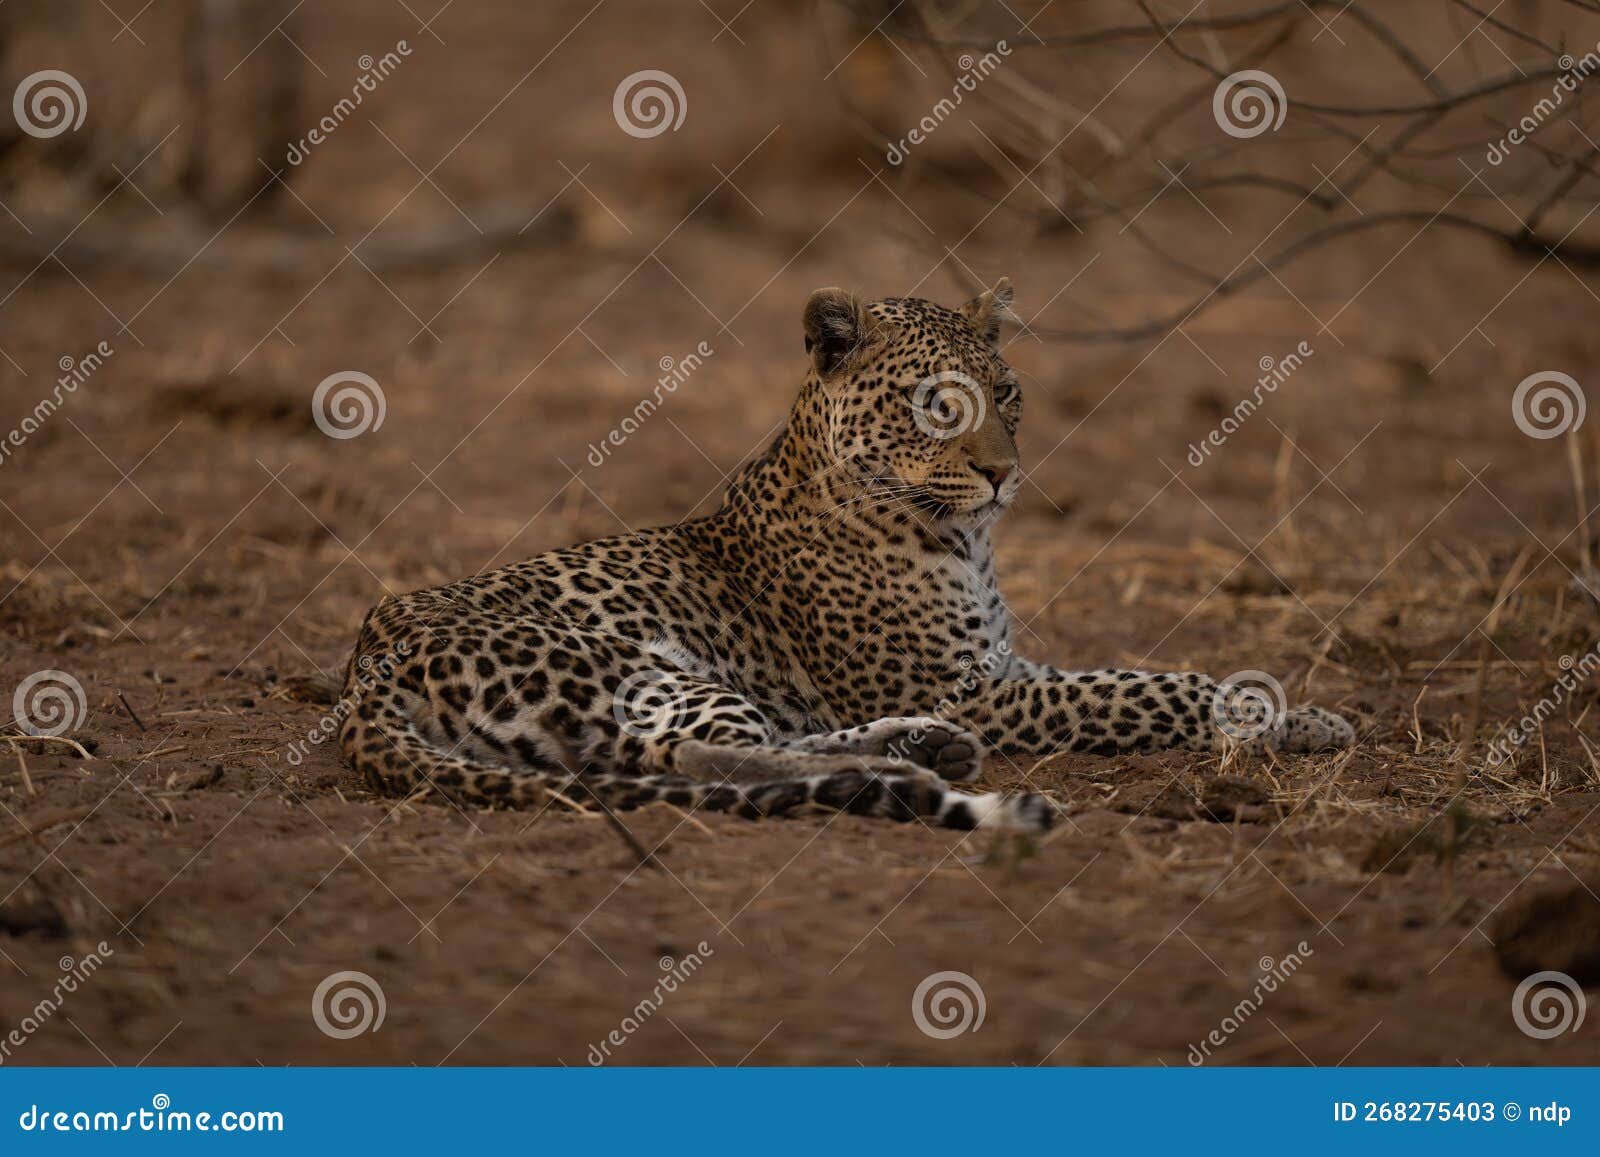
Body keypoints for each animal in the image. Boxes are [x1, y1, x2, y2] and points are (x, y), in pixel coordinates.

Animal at [338, 279, 1354, 834]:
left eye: (1005, 391)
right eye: (935, 403)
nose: (1004, 472)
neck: (962, 540)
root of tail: (362, 671)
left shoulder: (999, 669)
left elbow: (1134, 675)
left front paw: (1310, 717)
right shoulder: (976, 686)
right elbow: (1151, 687)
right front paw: (1279, 711)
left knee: (743, 745)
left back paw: (922, 751)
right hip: (632, 664)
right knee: (699, 759)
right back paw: (906, 774)